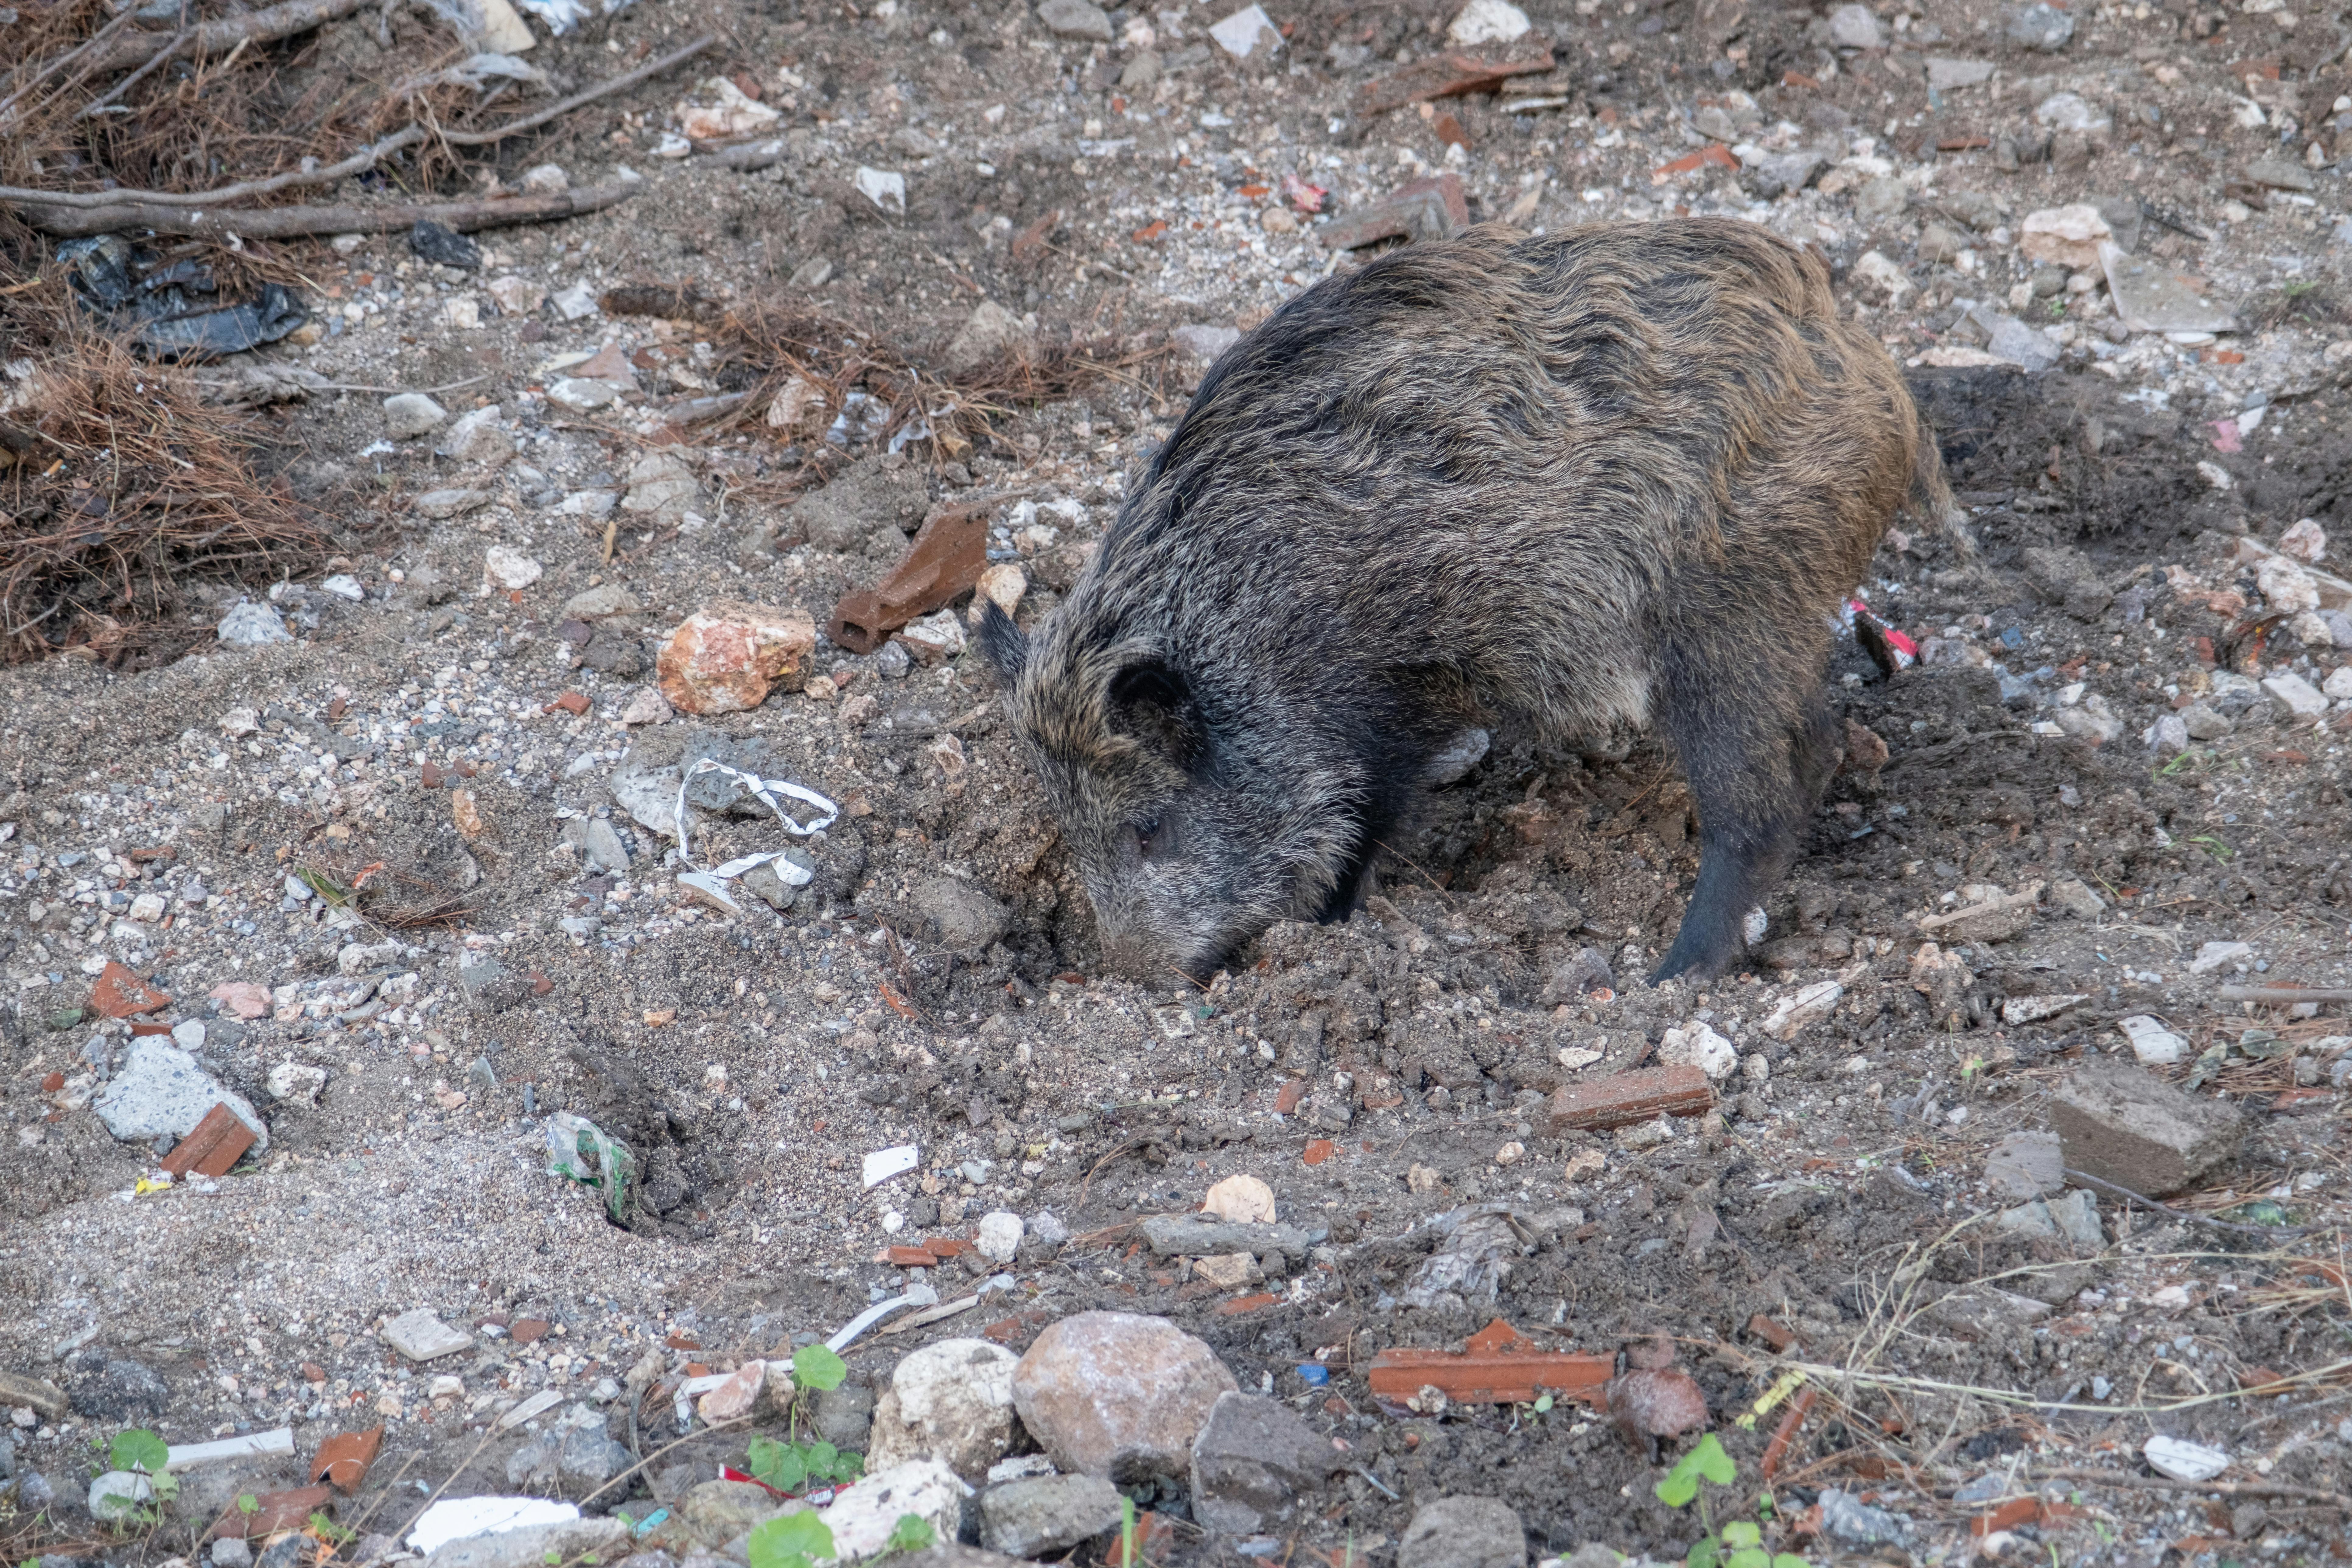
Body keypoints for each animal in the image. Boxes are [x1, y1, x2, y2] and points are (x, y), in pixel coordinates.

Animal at [976, 219, 1954, 985]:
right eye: (1071, 831)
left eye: (1150, 828)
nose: (1136, 980)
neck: (1250, 627)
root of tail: (1881, 384)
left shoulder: (1389, 696)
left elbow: (1363, 819)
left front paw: (1325, 931)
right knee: (1818, 740)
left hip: (1728, 618)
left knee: (1762, 794)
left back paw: (1668, 977)